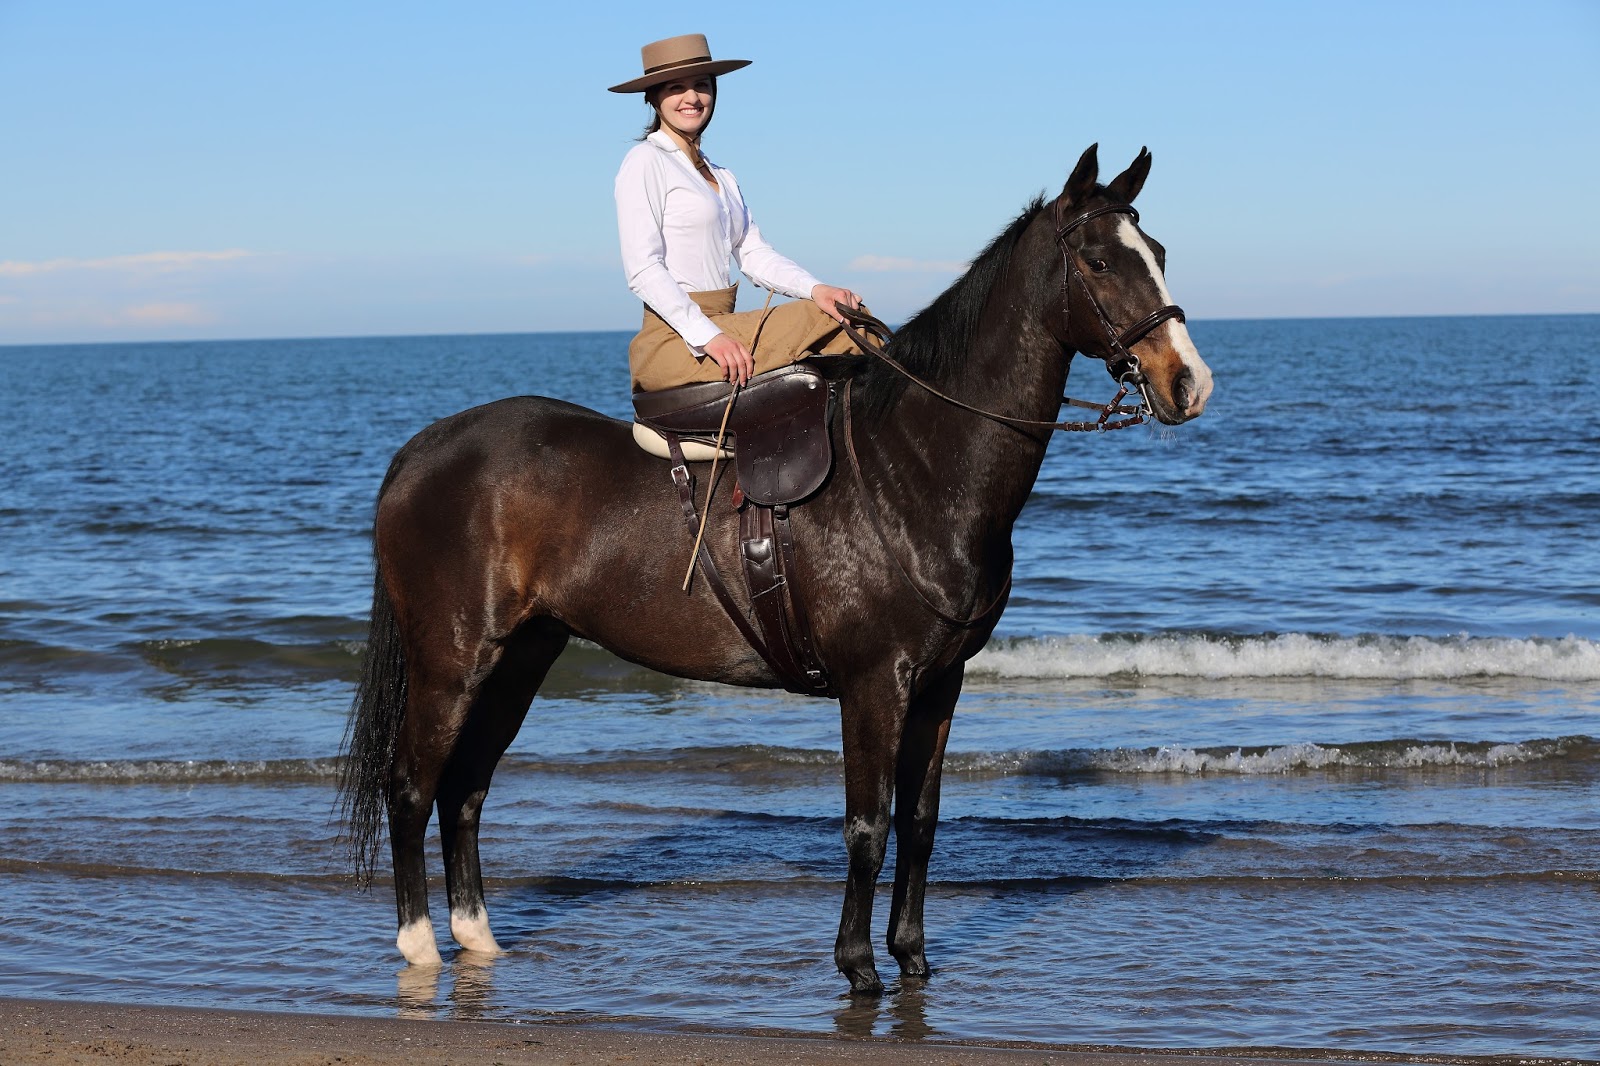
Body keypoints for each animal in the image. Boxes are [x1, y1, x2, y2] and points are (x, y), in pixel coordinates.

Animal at [338, 144, 1214, 995]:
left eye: (1161, 253)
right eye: (1098, 260)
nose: (1188, 383)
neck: (911, 464)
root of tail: (424, 449)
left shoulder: (940, 684)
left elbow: (921, 824)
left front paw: (912, 957)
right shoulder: (874, 684)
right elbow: (867, 828)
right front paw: (859, 967)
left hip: (522, 656)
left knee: (466, 788)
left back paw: (476, 938)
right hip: (454, 661)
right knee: (412, 785)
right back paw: (420, 946)